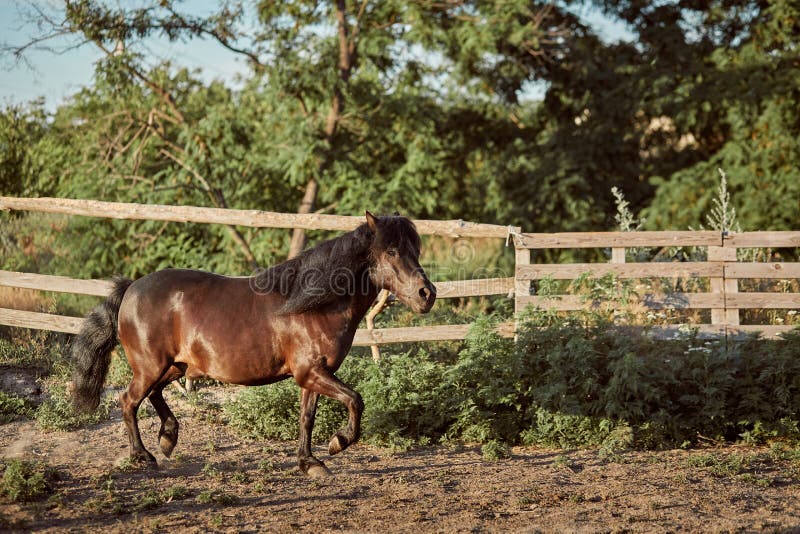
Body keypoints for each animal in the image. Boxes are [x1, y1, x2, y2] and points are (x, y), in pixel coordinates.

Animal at [69, 211, 436, 477]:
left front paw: (310, 463)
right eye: (391, 251)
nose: (427, 294)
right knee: (129, 401)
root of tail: (131, 288)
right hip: (151, 366)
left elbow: (307, 418)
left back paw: (168, 438)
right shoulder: (311, 373)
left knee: (154, 395)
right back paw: (143, 456)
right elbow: (355, 400)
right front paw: (338, 443)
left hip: (174, 366)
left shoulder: (312, 376)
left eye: (416, 250)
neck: (311, 305)